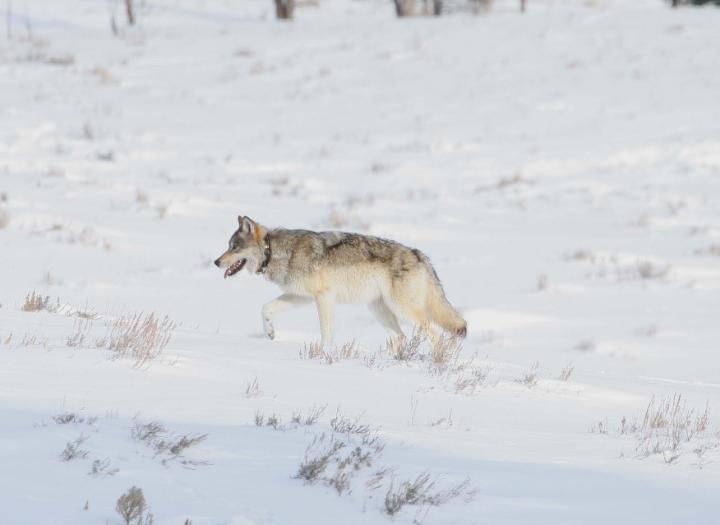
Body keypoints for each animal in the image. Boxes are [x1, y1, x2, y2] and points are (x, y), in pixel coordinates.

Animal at [214, 216, 467, 346]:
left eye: (234, 248)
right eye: (228, 246)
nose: (216, 262)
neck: (276, 252)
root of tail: (419, 254)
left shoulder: (324, 297)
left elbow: (326, 334)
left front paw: (324, 354)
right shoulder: (300, 297)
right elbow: (265, 308)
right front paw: (270, 333)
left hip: (404, 310)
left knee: (435, 336)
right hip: (380, 311)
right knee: (402, 338)